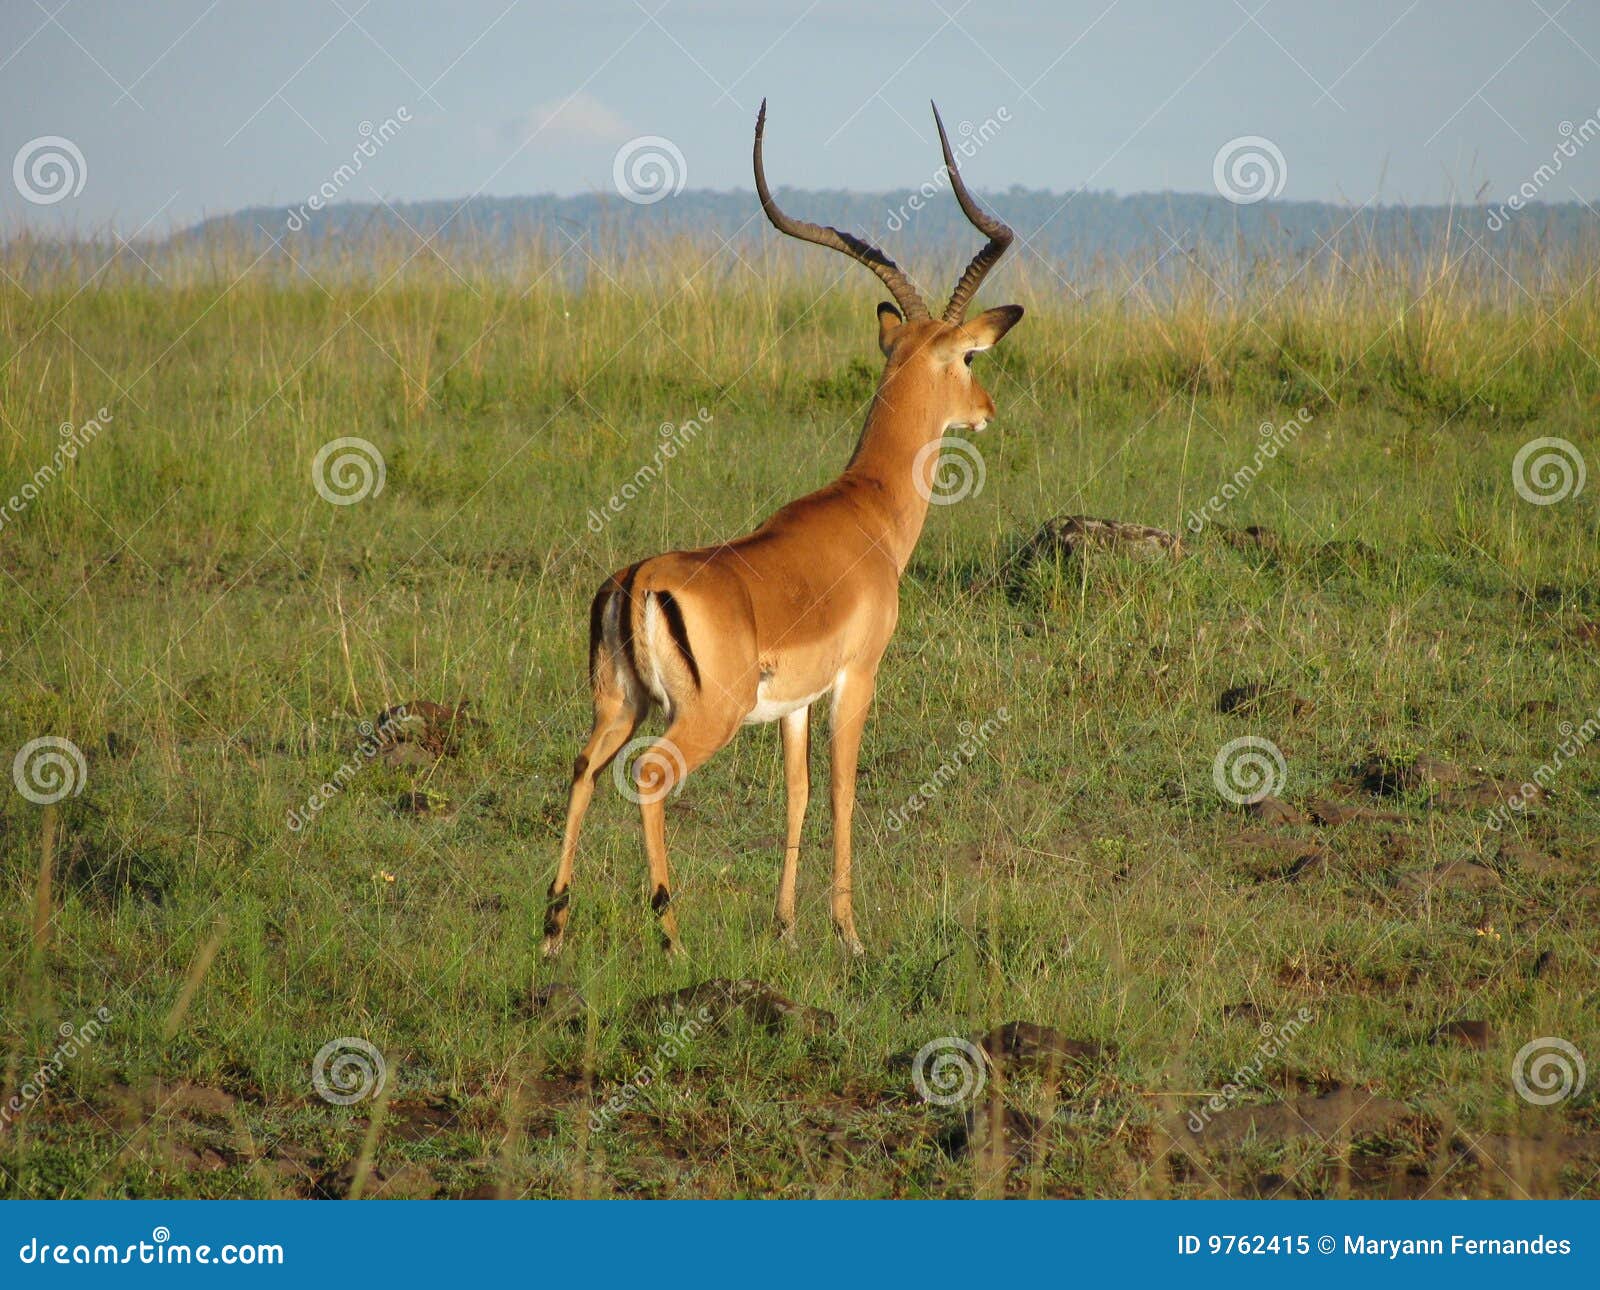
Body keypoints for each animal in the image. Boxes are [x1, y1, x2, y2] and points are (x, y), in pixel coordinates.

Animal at [543, 99, 1022, 957]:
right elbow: (841, 792)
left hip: (620, 705)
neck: (866, 509)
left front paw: (788, 923)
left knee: (582, 768)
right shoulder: (856, 680)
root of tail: (639, 578)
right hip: (701, 716)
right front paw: (849, 933)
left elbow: (795, 795)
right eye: (969, 358)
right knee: (648, 776)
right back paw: (670, 932)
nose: (987, 411)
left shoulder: (796, 704)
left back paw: (553, 929)